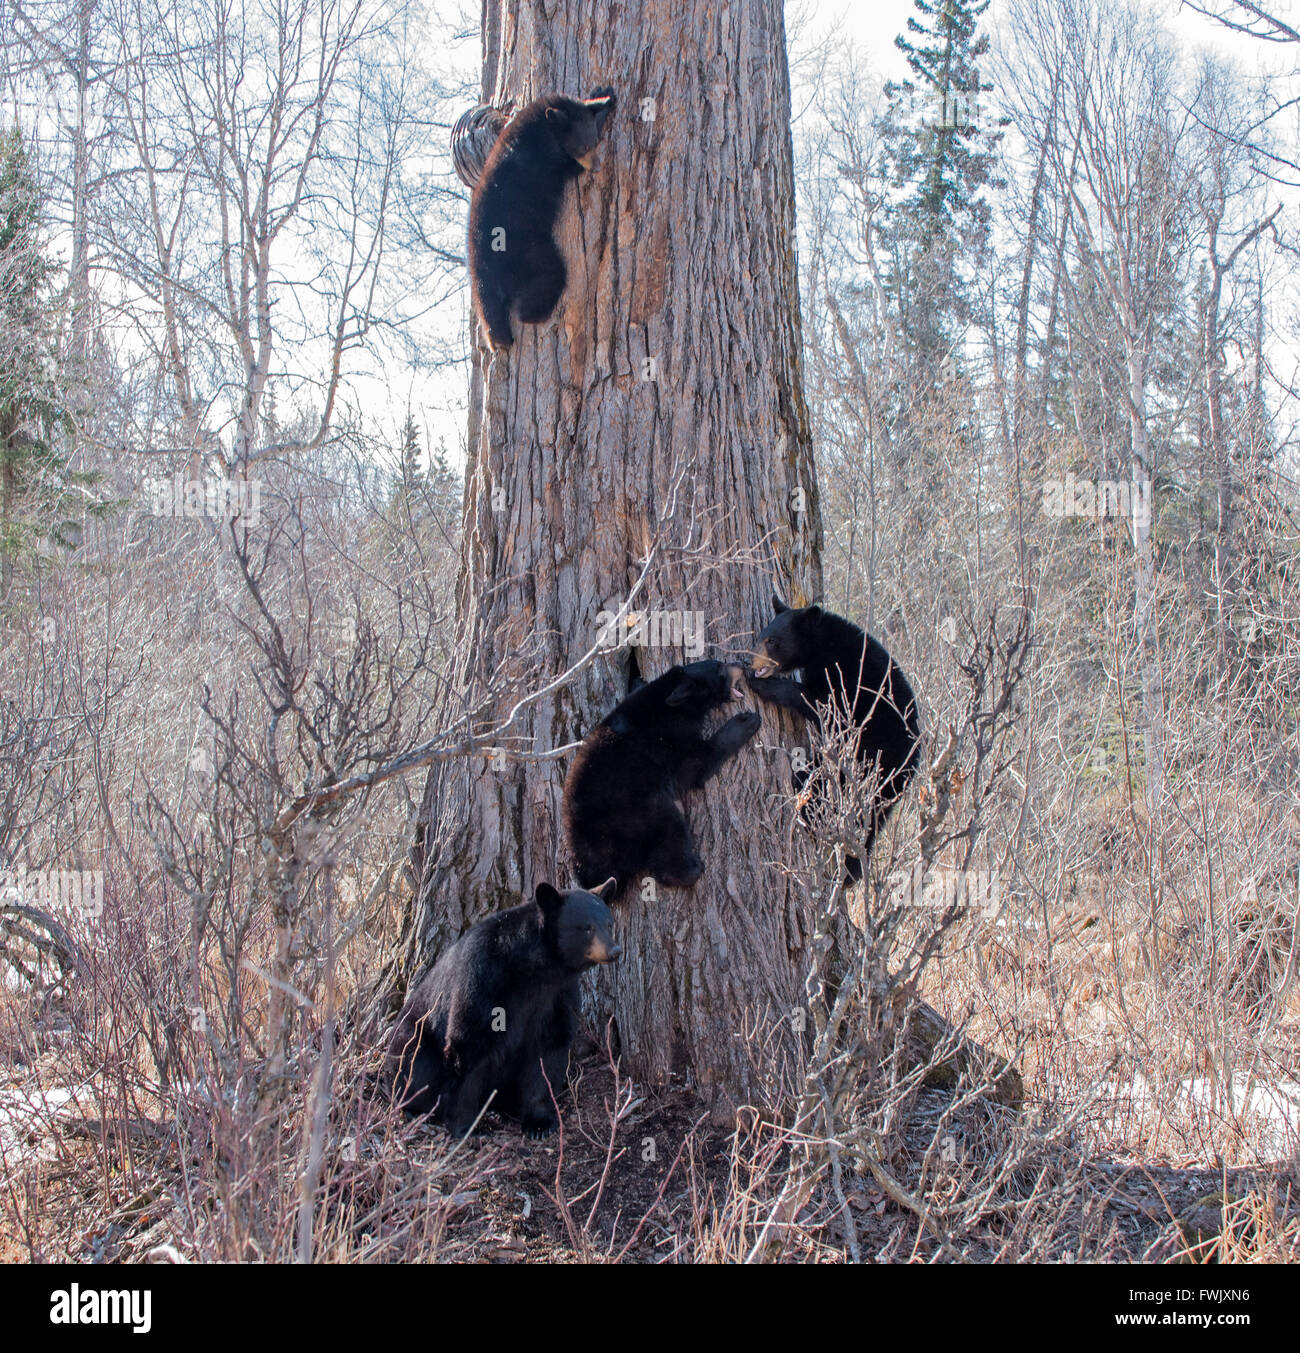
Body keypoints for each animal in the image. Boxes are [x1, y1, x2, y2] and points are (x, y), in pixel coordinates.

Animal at [386, 879, 620, 1139]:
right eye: (587, 927)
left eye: (609, 924)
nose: (615, 950)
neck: (536, 972)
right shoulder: (483, 978)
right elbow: (468, 1044)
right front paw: (467, 1127)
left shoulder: (557, 995)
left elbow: (548, 1052)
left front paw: (539, 1123)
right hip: (412, 1035)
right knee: (415, 1066)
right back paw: (415, 1108)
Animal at [468, 87, 616, 350]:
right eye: (583, 146)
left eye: (593, 142)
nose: (598, 167)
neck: (545, 125)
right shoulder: (546, 161)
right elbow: (569, 167)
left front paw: (604, 96)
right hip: (532, 253)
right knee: (549, 277)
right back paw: (533, 313)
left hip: (485, 278)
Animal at [562, 658, 761, 900]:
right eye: (720, 668)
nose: (742, 662)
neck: (671, 702)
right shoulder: (670, 739)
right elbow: (698, 764)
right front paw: (746, 721)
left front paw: (637, 678)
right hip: (637, 812)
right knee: (669, 835)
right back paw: (692, 868)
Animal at [747, 594, 921, 880]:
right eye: (761, 636)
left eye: (772, 641)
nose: (751, 663)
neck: (821, 644)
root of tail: (913, 763)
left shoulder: (842, 676)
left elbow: (820, 703)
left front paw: (764, 685)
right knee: (875, 819)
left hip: (870, 761)